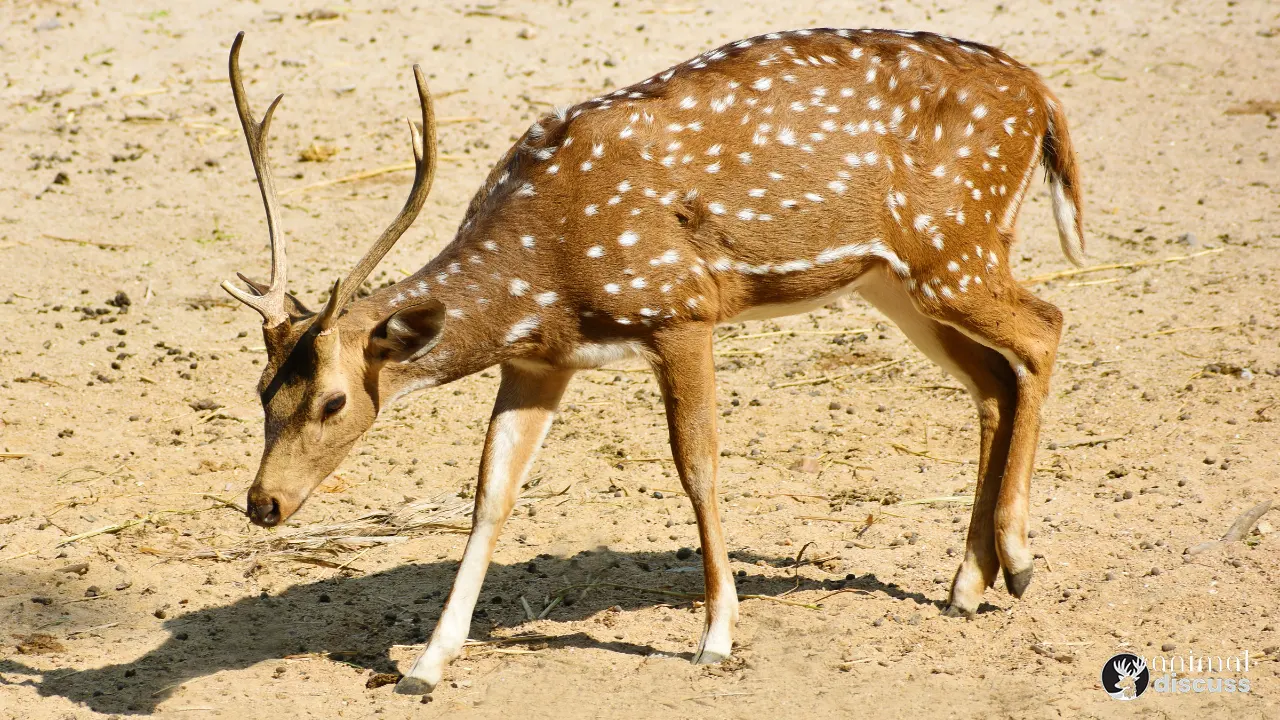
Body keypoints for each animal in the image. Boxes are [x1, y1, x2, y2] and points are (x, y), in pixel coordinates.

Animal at [219, 27, 1084, 694]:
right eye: (260, 391)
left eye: (332, 400)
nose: (262, 503)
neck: (544, 268)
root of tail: (1043, 95)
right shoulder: (541, 361)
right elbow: (491, 491)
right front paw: (427, 665)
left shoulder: (680, 308)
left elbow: (696, 464)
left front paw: (717, 636)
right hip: (900, 279)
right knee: (992, 381)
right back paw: (967, 585)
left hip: (954, 247)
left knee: (1045, 326)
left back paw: (1018, 559)